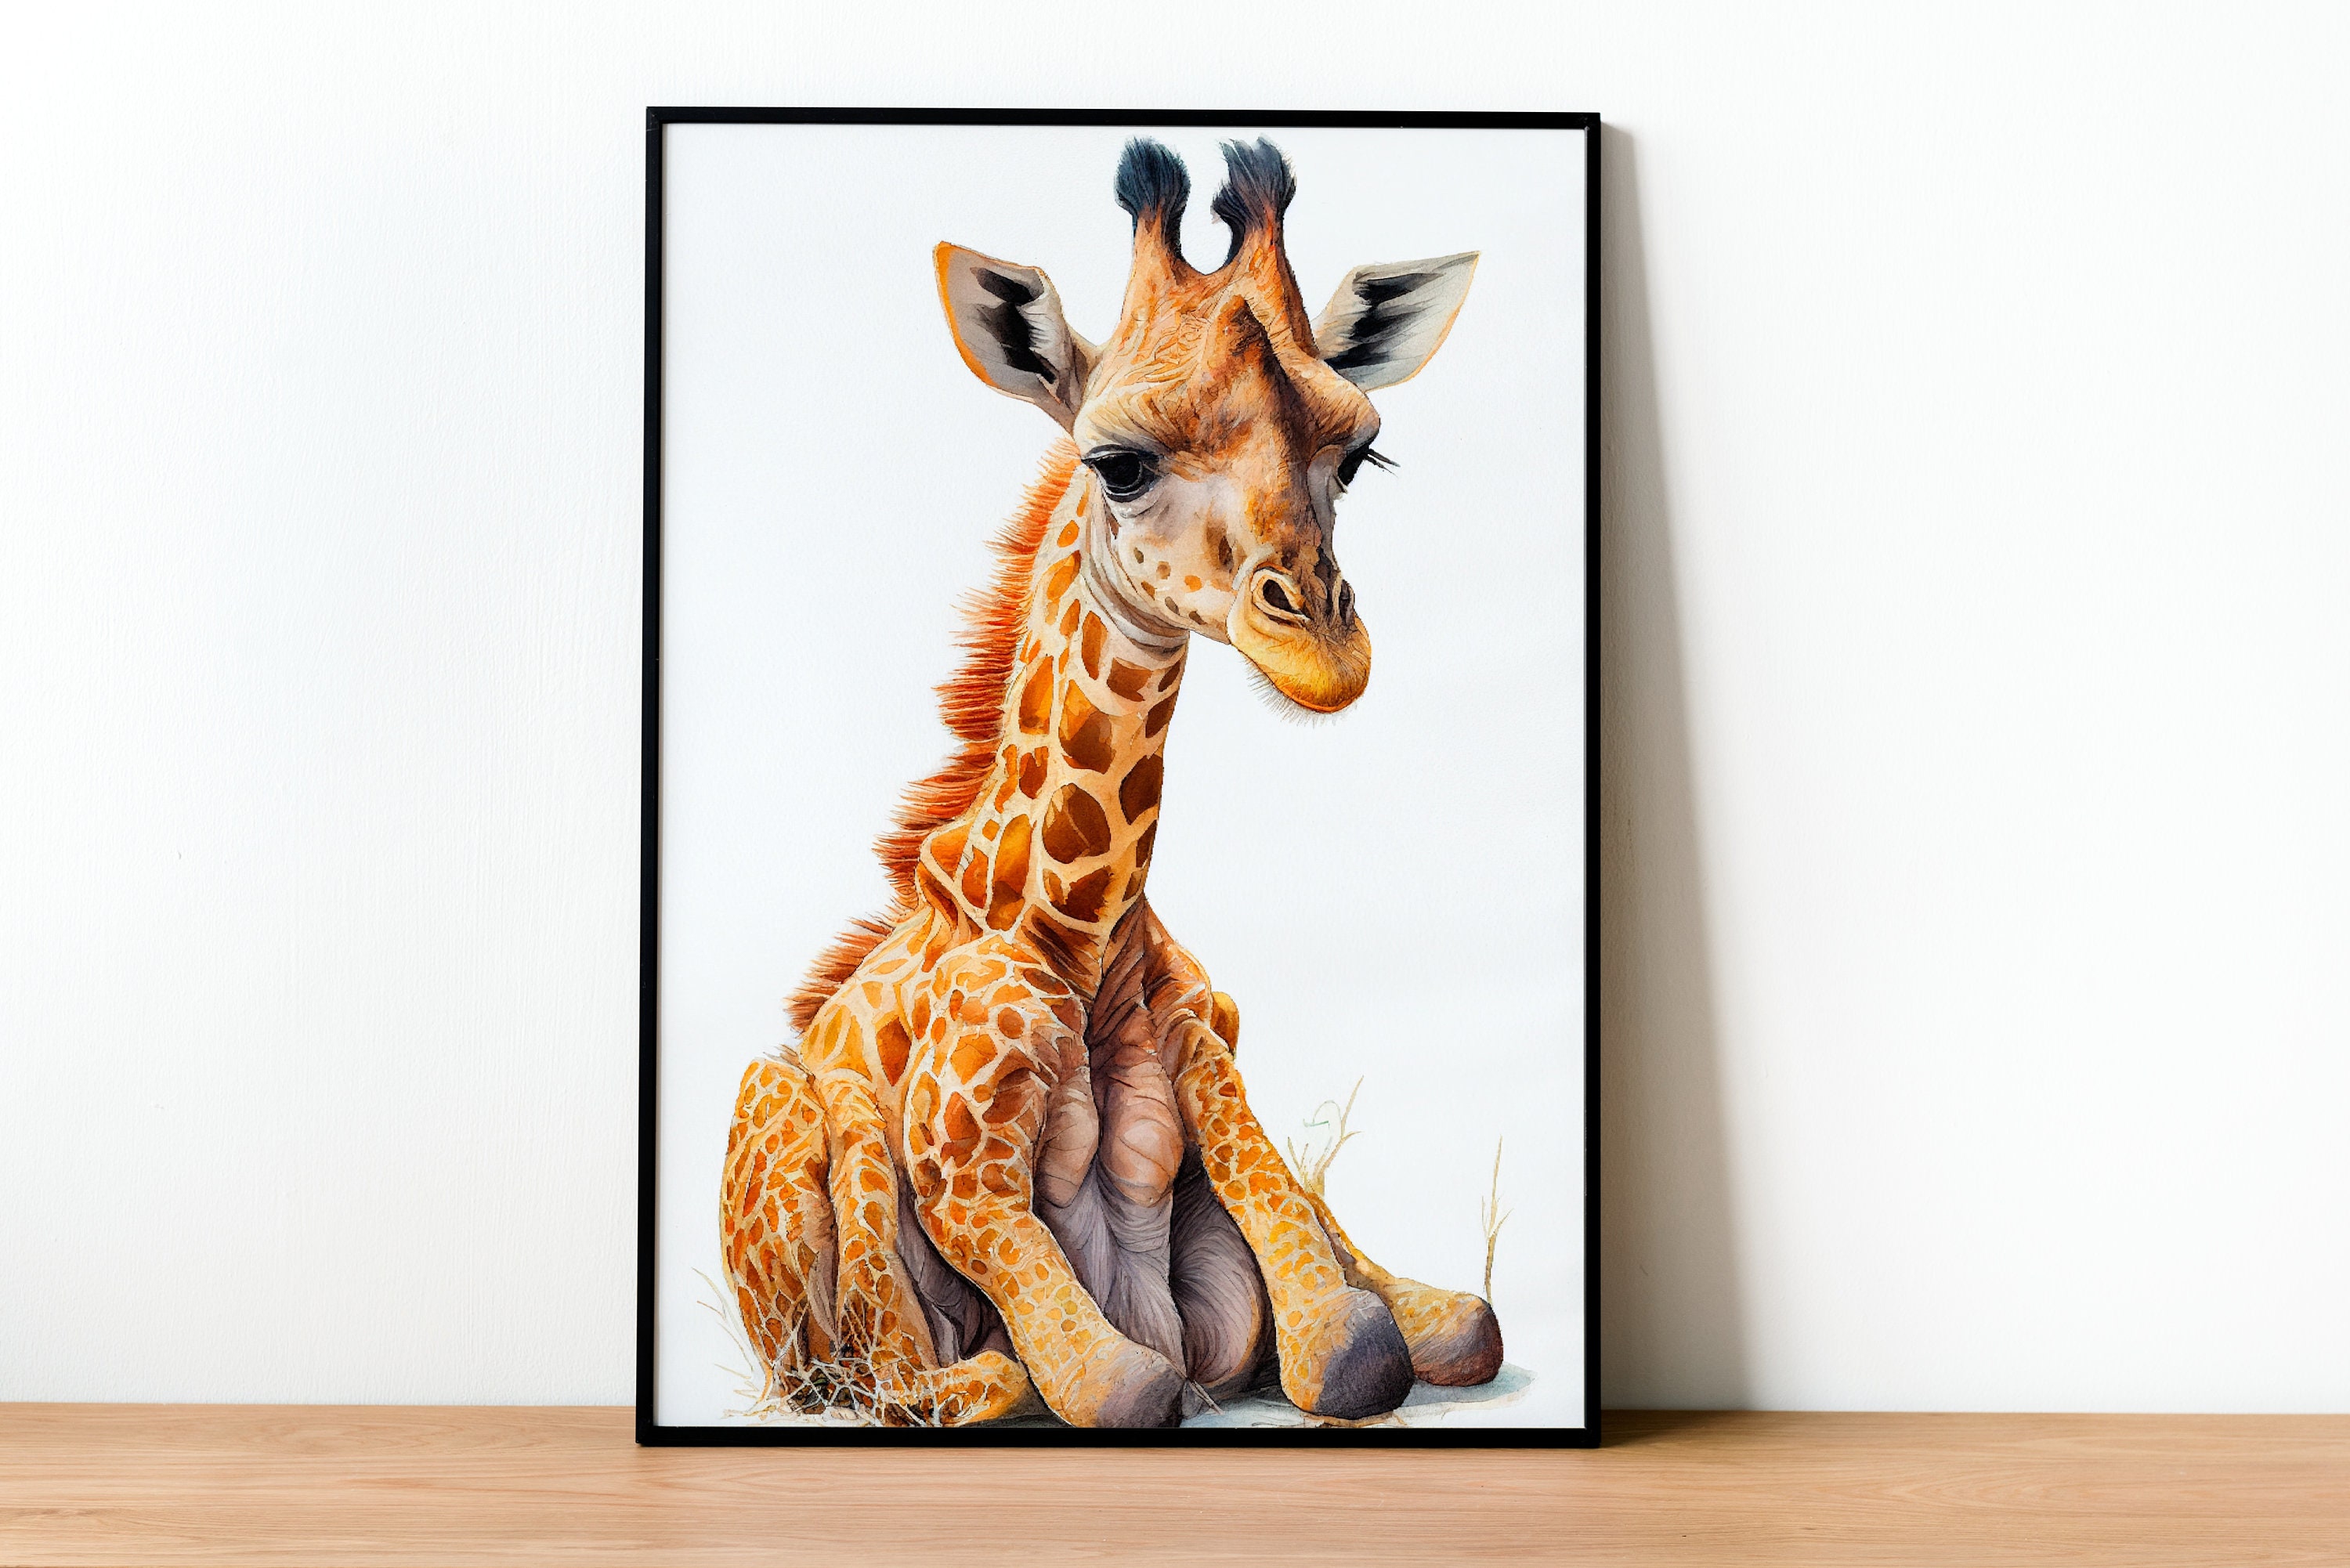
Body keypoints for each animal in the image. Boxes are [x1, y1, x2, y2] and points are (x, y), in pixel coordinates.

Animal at [720, 137, 1500, 1428]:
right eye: (1118, 465)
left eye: (1358, 454)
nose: (1324, 651)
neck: (1079, 922)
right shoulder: (962, 1182)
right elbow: (1116, 1381)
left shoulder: (1218, 1061)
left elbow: (1397, 1333)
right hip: (782, 1151)